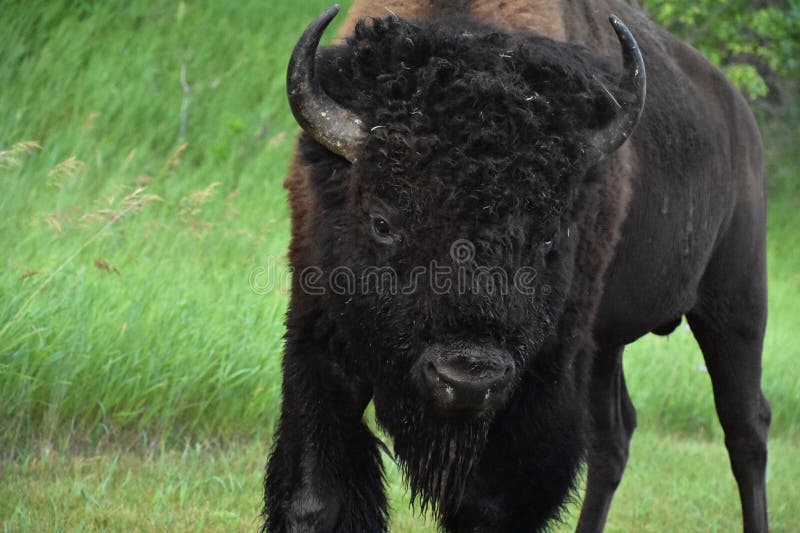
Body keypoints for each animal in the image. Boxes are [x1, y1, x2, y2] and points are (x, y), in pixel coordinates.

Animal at [263, 1, 770, 532]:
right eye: (382, 221)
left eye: (549, 235)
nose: (466, 377)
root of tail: (742, 122)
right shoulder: (319, 334)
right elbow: (314, 497)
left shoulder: (545, 372)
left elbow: (492, 504)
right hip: (610, 345)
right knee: (615, 438)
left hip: (735, 308)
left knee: (746, 430)